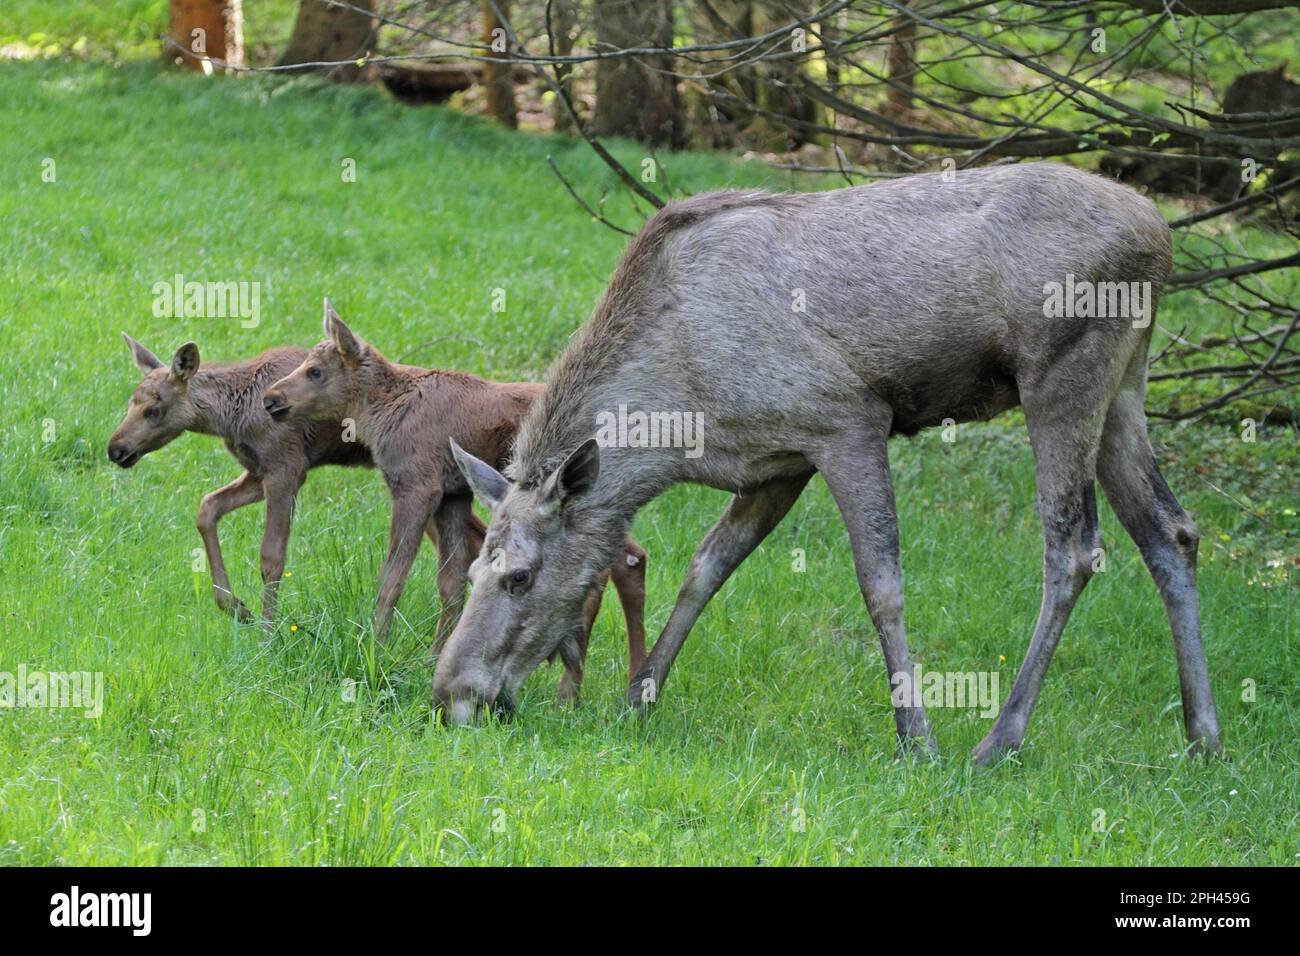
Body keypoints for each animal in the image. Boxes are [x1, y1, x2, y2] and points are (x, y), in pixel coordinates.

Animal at [107, 336, 376, 625]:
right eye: (129, 404)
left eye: (153, 410)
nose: (115, 449)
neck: (232, 417)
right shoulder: (258, 471)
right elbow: (207, 507)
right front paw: (236, 606)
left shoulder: (286, 467)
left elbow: (271, 558)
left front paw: (269, 631)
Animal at [261, 302, 648, 702]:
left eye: (315, 371)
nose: (271, 399)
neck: (382, 414)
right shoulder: (454, 493)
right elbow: (451, 583)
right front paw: (432, 660)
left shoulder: (418, 486)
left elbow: (392, 580)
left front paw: (375, 650)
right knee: (627, 559)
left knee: (612, 567)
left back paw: (580, 690)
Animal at [433, 162, 1224, 766]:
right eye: (471, 573)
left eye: (518, 576)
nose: (449, 696)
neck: (681, 416)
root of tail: (1161, 234)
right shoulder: (775, 465)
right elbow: (704, 569)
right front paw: (639, 698)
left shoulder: (846, 421)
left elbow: (882, 585)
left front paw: (917, 738)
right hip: (1126, 384)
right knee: (1172, 530)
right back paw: (1204, 737)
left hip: (1063, 373)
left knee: (1074, 548)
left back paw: (998, 740)